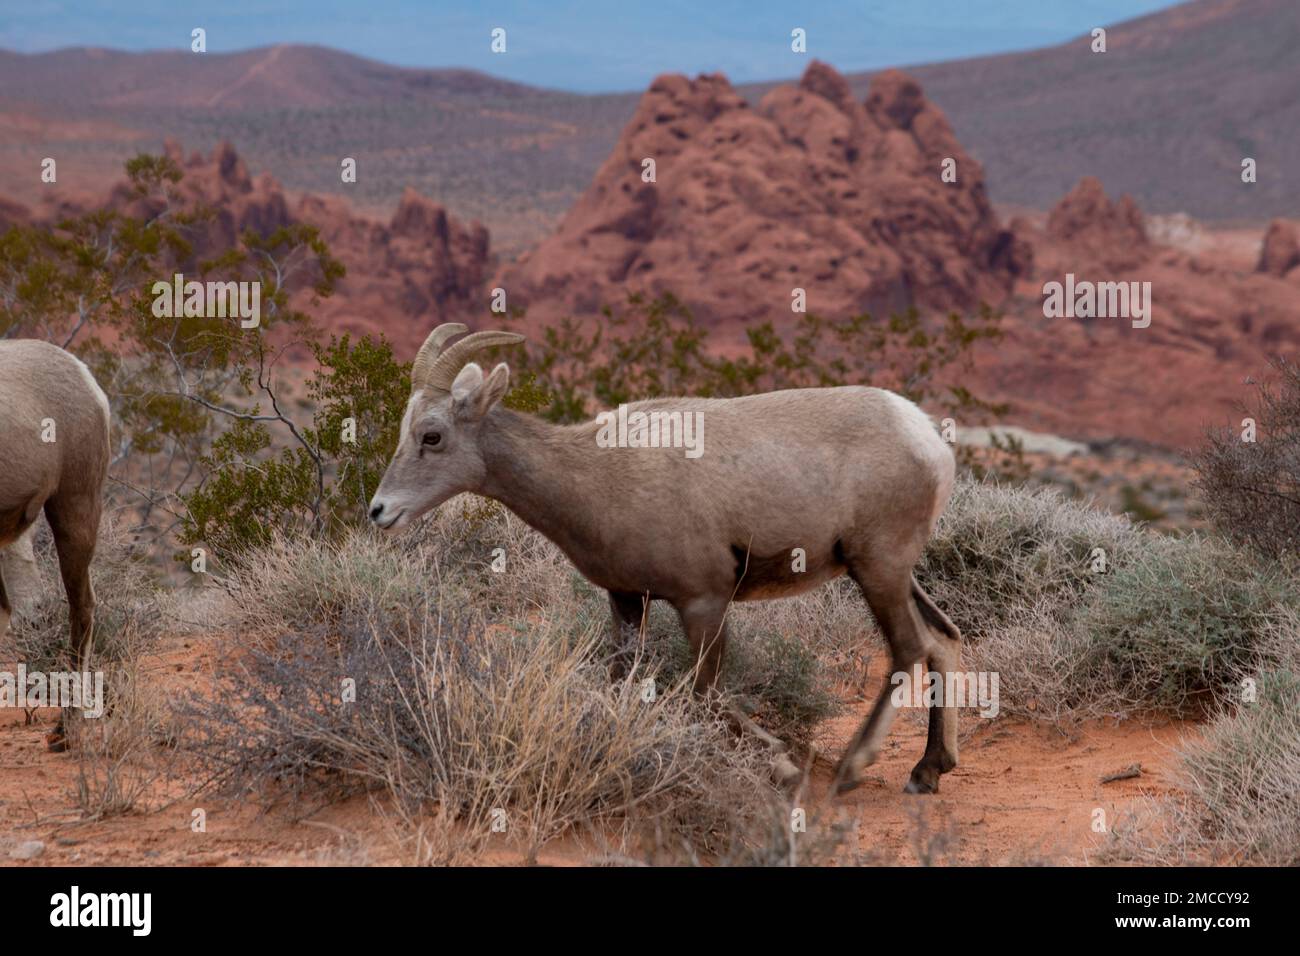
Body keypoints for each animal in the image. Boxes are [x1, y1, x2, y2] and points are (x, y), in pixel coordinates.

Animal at [369, 324, 963, 794]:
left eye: (432, 436)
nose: (379, 511)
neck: (597, 475)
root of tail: (928, 440)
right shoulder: (628, 601)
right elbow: (628, 682)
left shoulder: (703, 603)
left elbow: (703, 695)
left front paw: (782, 766)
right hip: (892, 573)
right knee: (944, 639)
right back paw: (927, 771)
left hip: (878, 570)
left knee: (910, 647)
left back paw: (852, 769)